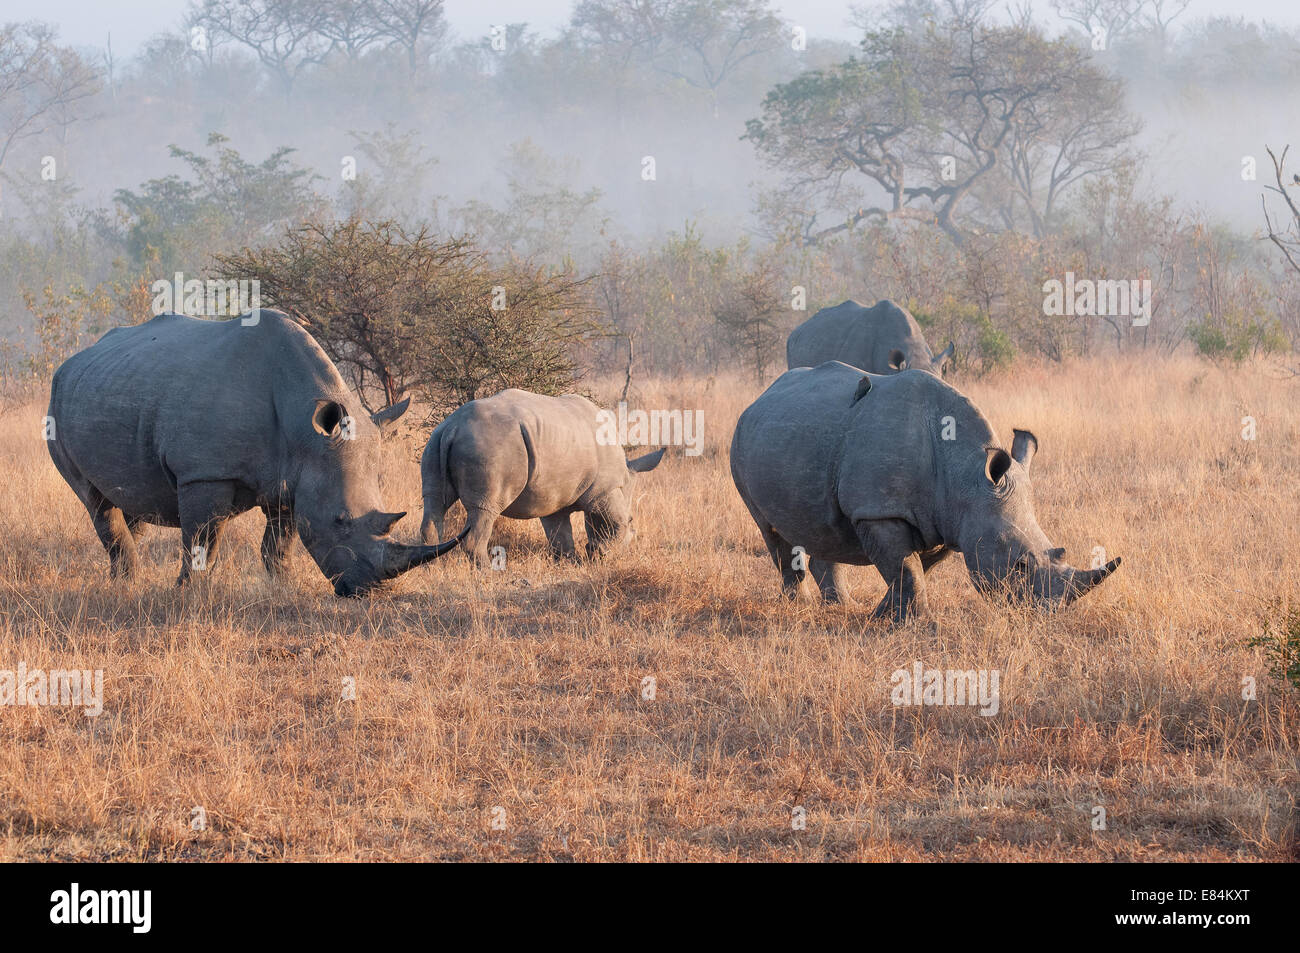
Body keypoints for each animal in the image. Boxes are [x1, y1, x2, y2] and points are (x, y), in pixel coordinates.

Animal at [46, 310, 463, 597]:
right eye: (340, 521)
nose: (373, 591)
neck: (305, 428)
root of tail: (73, 360)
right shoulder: (204, 473)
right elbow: (201, 539)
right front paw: (188, 594)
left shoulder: (295, 477)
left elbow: (278, 545)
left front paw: (284, 587)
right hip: (56, 406)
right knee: (96, 501)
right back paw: (126, 585)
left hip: (111, 385)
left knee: (127, 501)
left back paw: (125, 581)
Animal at [421, 389, 665, 565]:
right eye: (633, 521)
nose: (596, 557)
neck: (625, 477)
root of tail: (454, 426)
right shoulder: (605, 490)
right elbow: (617, 520)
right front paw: (603, 554)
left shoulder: (553, 496)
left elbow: (560, 533)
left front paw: (570, 563)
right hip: (488, 447)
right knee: (484, 509)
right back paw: (487, 572)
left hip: (436, 439)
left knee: (434, 501)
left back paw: (432, 566)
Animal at [730, 362, 1121, 623]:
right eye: (1020, 566)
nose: (1047, 614)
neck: (966, 476)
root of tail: (759, 398)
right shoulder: (880, 510)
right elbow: (907, 569)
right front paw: (919, 626)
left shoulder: (948, 519)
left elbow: (913, 569)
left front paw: (882, 615)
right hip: (742, 441)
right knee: (771, 531)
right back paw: (799, 606)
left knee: (825, 528)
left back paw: (841, 607)